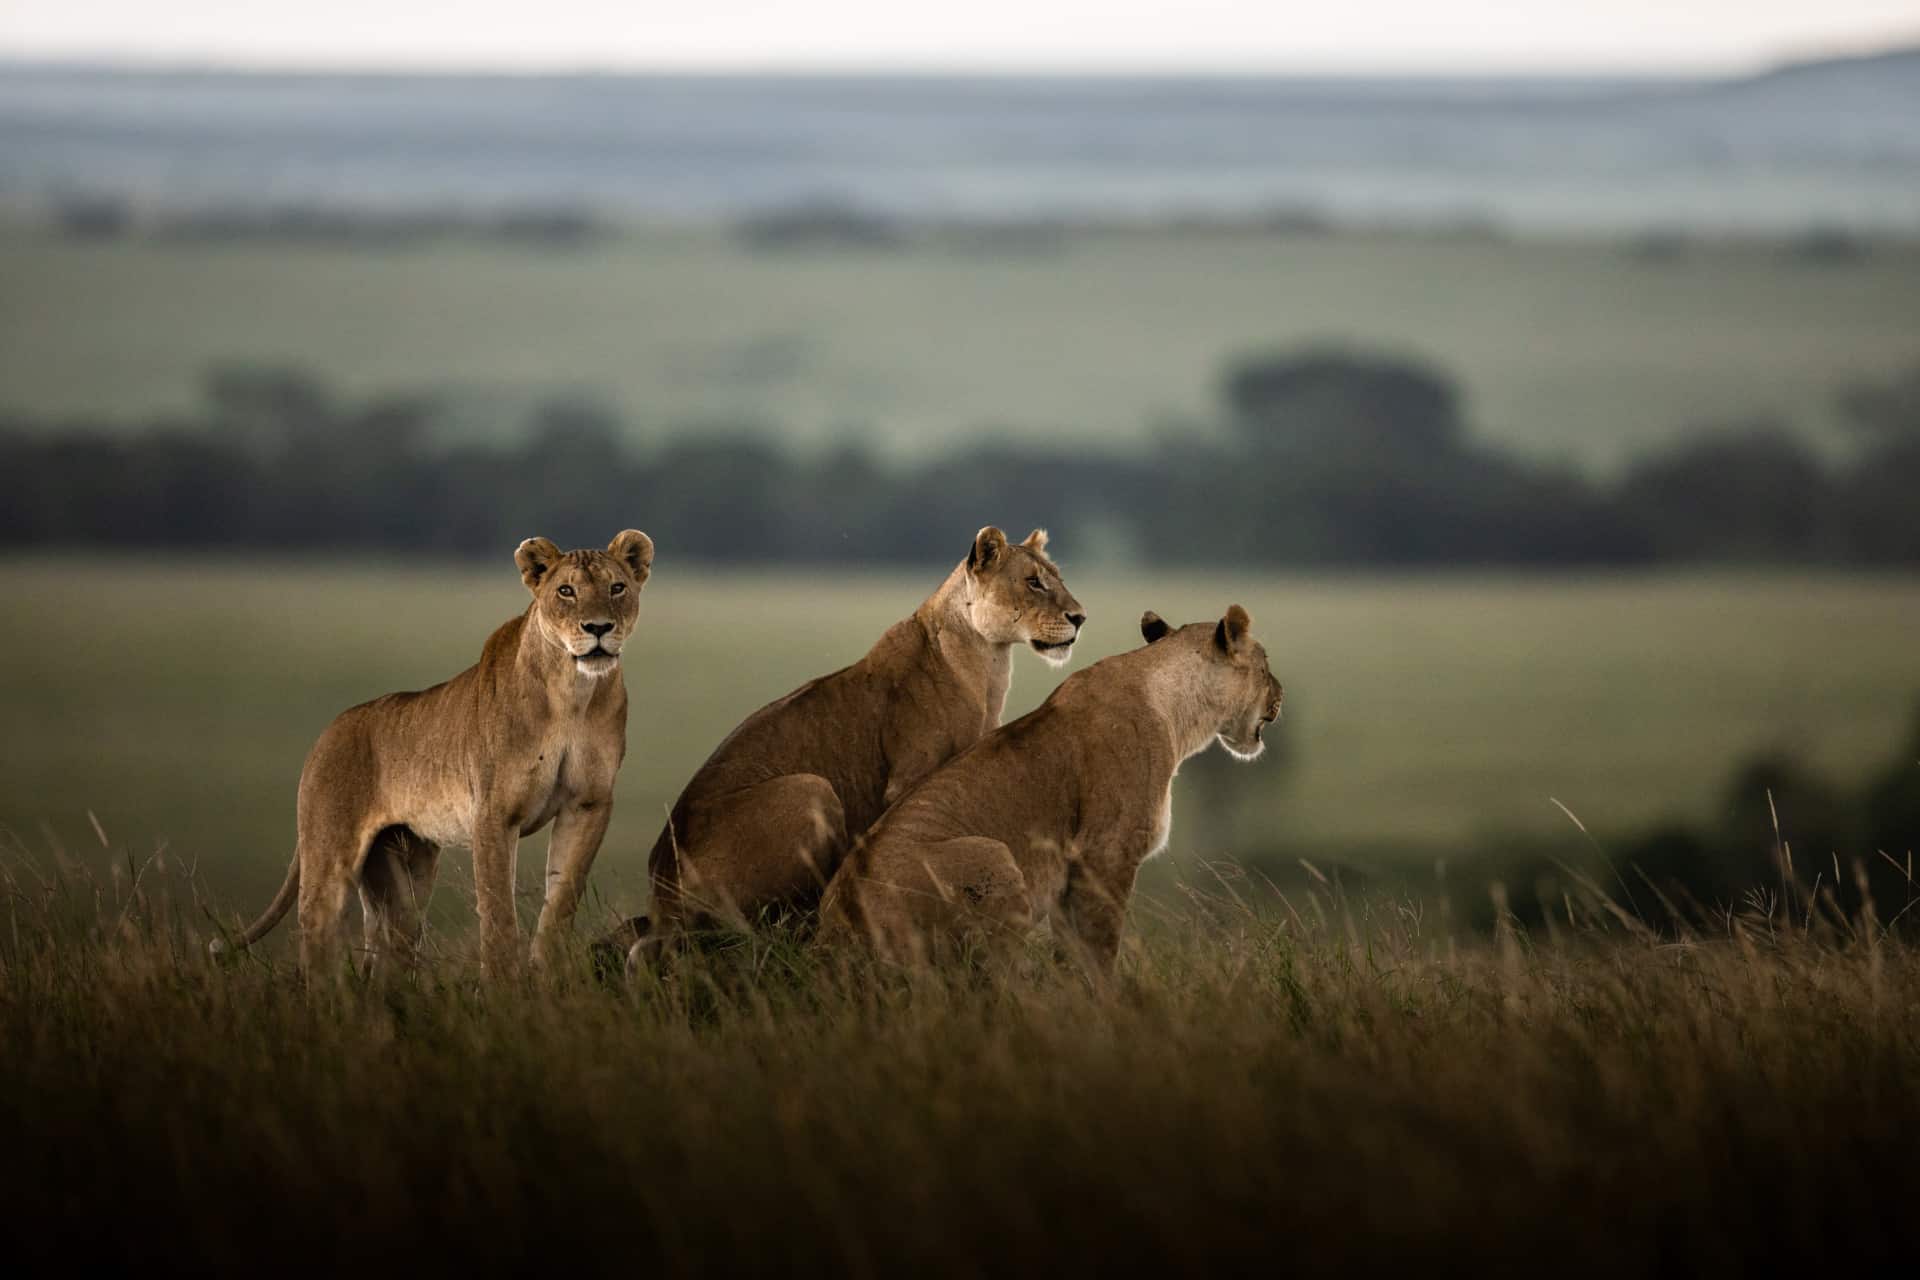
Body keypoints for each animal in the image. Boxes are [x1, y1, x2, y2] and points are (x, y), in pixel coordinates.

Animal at [212, 530, 655, 977]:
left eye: (617, 588)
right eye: (566, 591)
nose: (598, 628)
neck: (571, 694)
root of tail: (327, 732)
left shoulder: (587, 804)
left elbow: (561, 902)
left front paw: (549, 976)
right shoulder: (494, 813)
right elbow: (498, 913)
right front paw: (503, 986)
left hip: (403, 874)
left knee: (387, 954)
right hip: (329, 856)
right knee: (317, 938)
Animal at [603, 525, 1083, 967]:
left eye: (1056, 577)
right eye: (1033, 582)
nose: (1079, 617)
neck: (987, 660)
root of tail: (660, 893)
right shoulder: (911, 778)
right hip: (808, 789)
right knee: (753, 929)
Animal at [817, 605, 1282, 972]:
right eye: (1265, 664)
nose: (1281, 693)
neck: (1179, 711)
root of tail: (840, 927)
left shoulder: (1069, 878)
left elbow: (1070, 954)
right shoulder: (1105, 853)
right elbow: (1100, 950)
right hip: (994, 857)